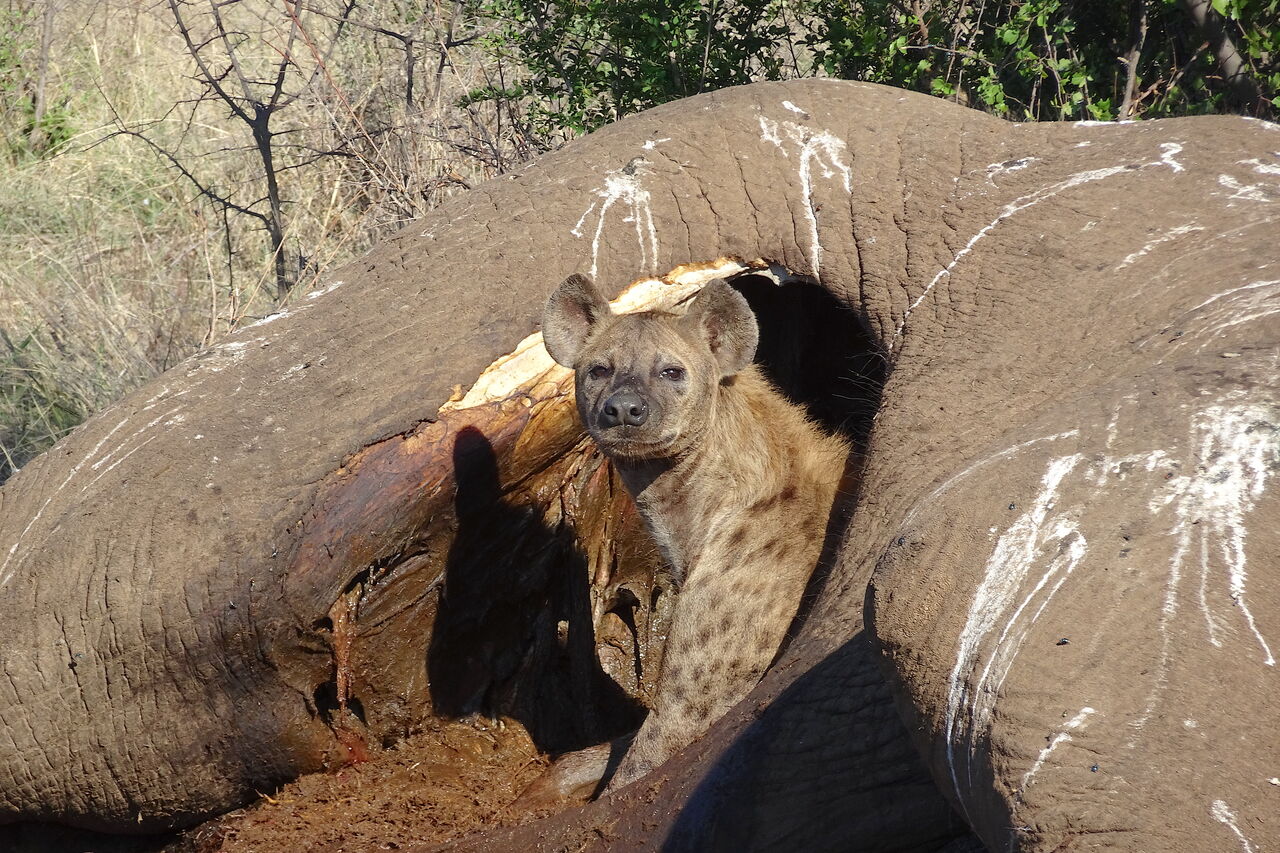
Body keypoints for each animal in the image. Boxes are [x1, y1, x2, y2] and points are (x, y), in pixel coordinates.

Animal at [1, 79, 1276, 852]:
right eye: (598, 367)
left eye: (667, 372)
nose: (617, 411)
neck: (699, 506)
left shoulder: (718, 671)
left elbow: (648, 754)